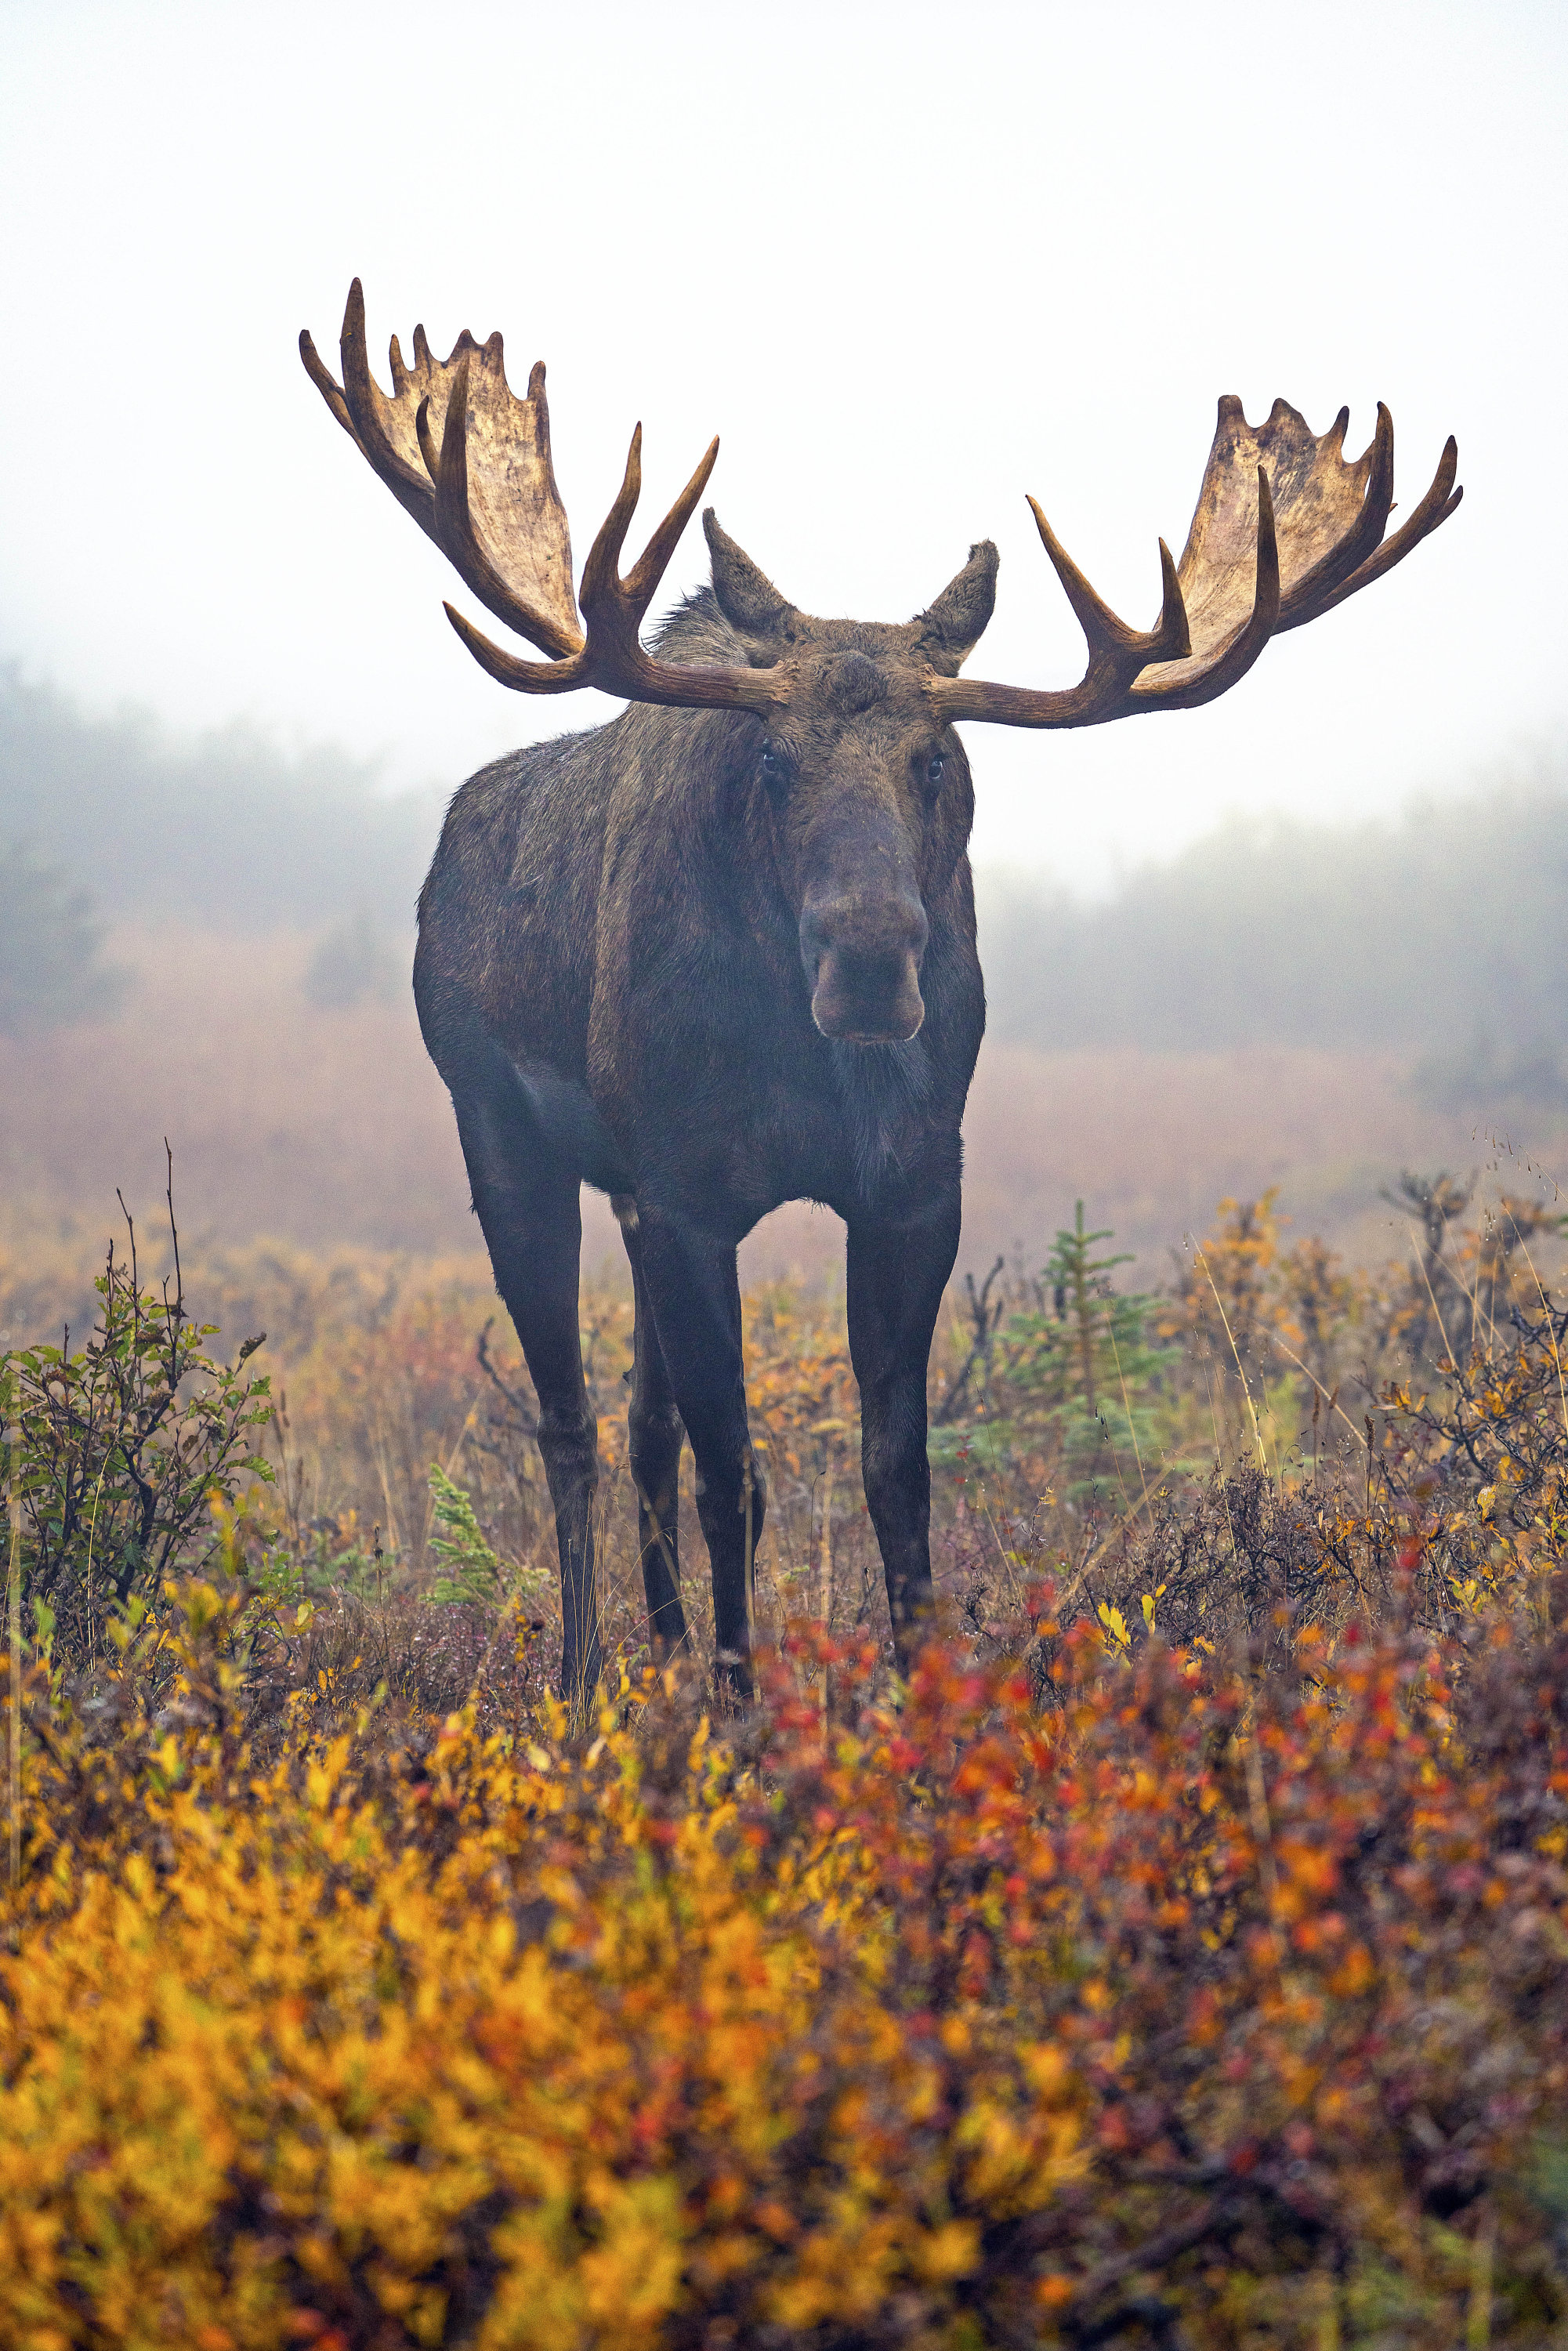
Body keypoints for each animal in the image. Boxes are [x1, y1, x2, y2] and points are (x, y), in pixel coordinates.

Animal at [301, 280, 1460, 1700]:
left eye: (938, 760)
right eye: (770, 760)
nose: (871, 960)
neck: (805, 1068)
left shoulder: (908, 1187)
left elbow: (890, 1471)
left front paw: (918, 1695)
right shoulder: (688, 1192)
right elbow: (738, 1474)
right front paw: (742, 1714)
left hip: (621, 1187)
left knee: (638, 1422)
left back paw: (661, 1656)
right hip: (502, 1134)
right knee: (568, 1422)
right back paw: (583, 1681)